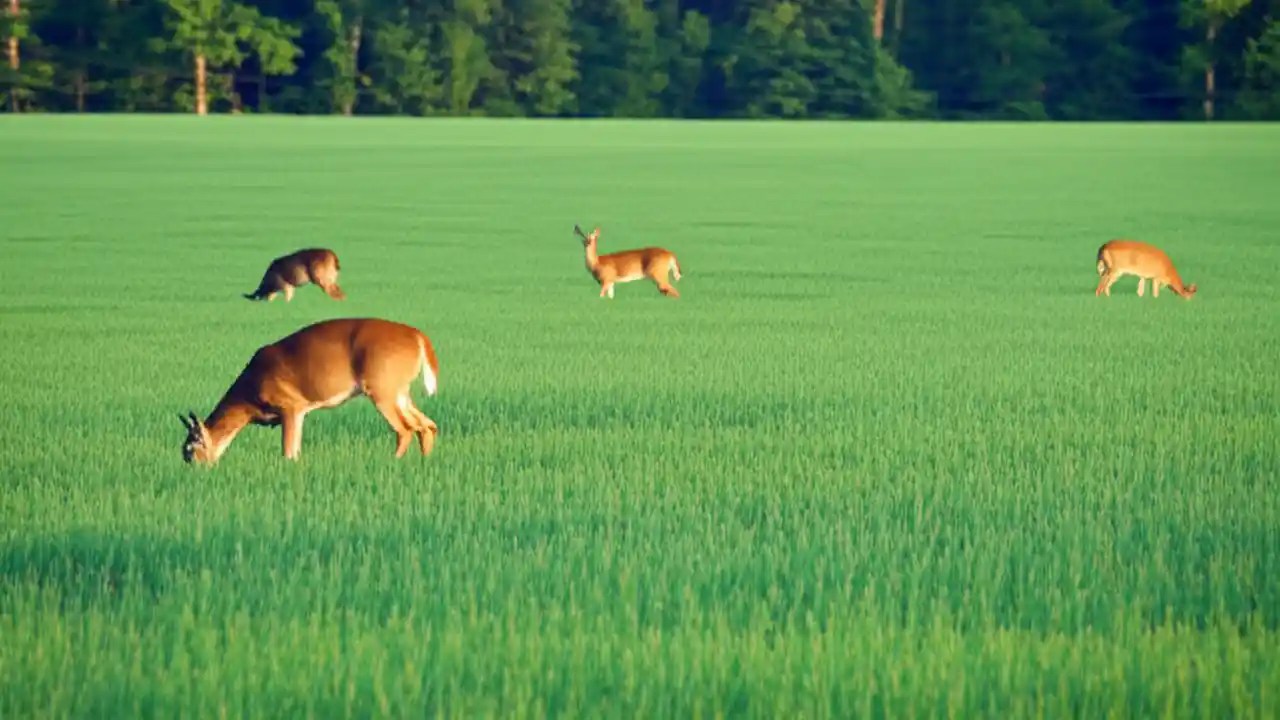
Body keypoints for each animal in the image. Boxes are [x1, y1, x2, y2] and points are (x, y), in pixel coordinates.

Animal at [179, 318, 439, 465]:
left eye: (189, 450)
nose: (191, 468)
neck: (248, 396)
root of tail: (419, 337)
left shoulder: (290, 405)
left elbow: (288, 452)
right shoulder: (301, 411)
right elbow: (296, 450)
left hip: (382, 388)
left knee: (406, 429)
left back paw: (393, 463)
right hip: (400, 391)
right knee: (427, 426)